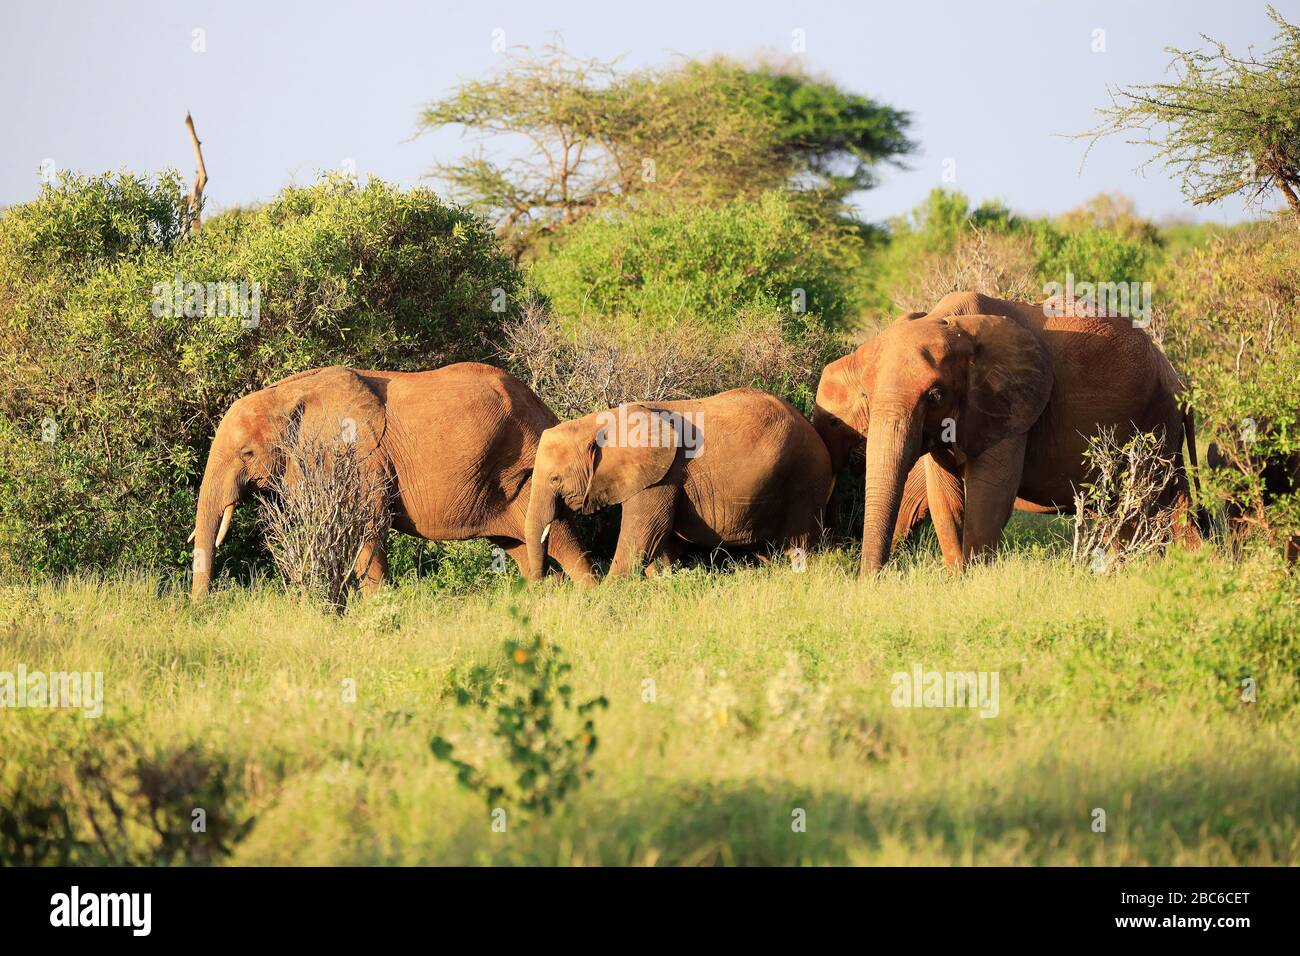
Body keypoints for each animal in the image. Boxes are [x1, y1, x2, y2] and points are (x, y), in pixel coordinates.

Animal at [190, 363, 596, 600]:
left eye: (246, 454)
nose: (202, 609)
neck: (287, 393)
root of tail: (544, 406)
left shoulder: (361, 458)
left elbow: (365, 525)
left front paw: (380, 607)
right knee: (524, 548)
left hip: (534, 469)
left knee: (561, 539)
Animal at [525, 388, 832, 579]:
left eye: (555, 479)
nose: (542, 584)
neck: (598, 422)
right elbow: (659, 541)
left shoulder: (663, 475)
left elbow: (643, 536)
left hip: (806, 479)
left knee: (799, 547)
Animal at [813, 291, 1201, 576]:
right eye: (867, 397)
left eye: (936, 396)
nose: (869, 581)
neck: (954, 324)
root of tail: (1177, 378)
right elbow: (945, 495)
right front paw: (958, 578)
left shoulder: (1010, 405)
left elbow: (990, 493)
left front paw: (975, 582)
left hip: (1154, 423)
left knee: (1145, 504)